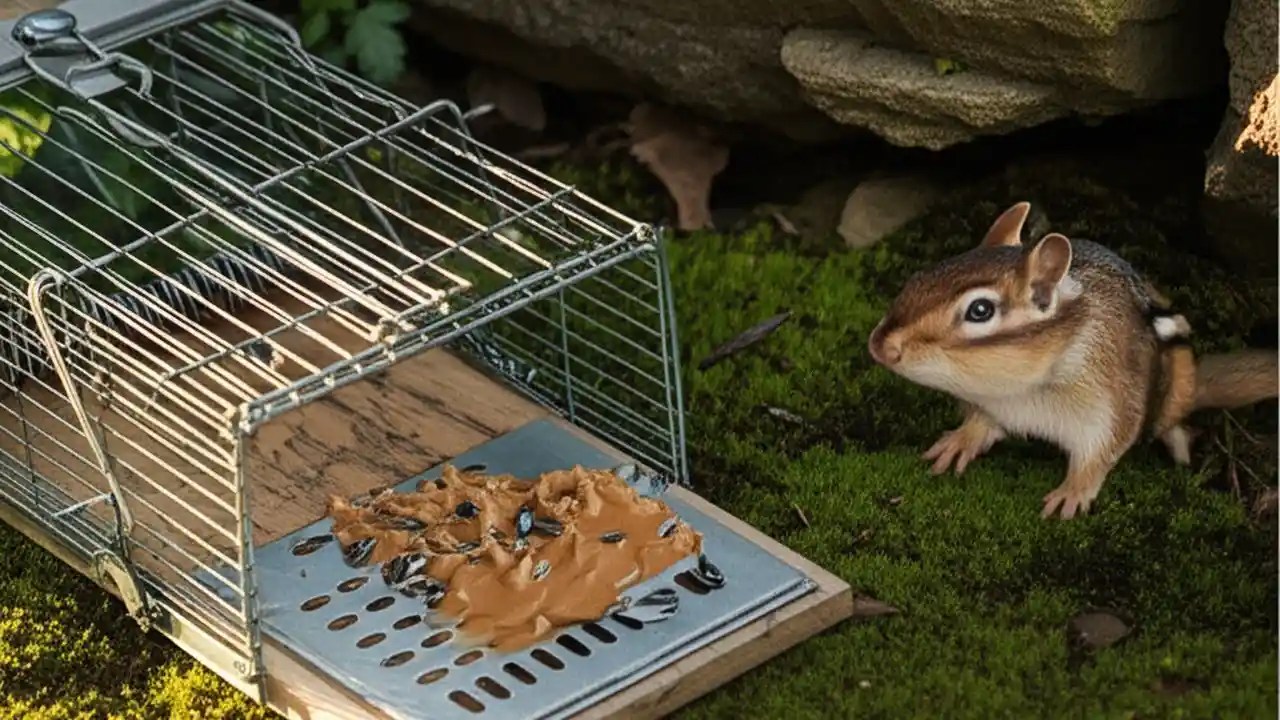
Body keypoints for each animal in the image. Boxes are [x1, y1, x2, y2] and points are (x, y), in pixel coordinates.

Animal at [867, 201, 1277, 520]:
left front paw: (1073, 493)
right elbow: (981, 423)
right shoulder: (991, 403)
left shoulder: (1112, 407)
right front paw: (960, 440)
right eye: (921, 275)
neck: (1022, 388)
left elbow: (1100, 453)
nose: (879, 346)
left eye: (980, 310)